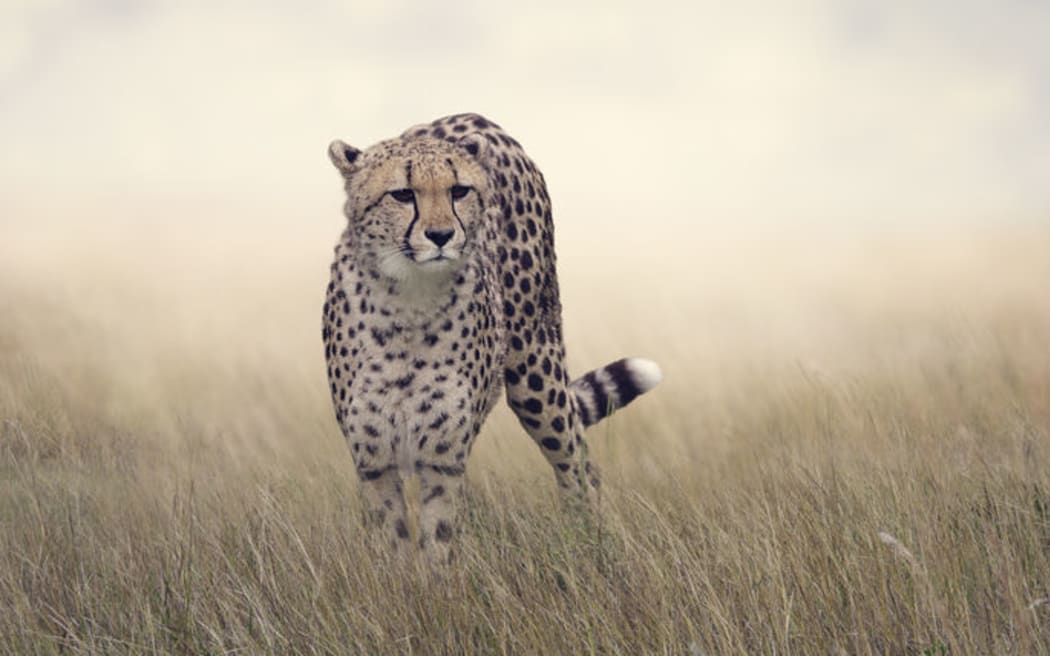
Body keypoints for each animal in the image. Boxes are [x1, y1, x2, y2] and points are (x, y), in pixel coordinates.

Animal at [322, 113, 662, 564]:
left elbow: (438, 545)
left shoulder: (443, 459)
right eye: (402, 194)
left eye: (459, 190)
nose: (441, 235)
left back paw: (588, 544)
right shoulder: (374, 461)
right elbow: (392, 548)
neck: (409, 299)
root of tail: (475, 118)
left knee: (577, 460)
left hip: (536, 377)